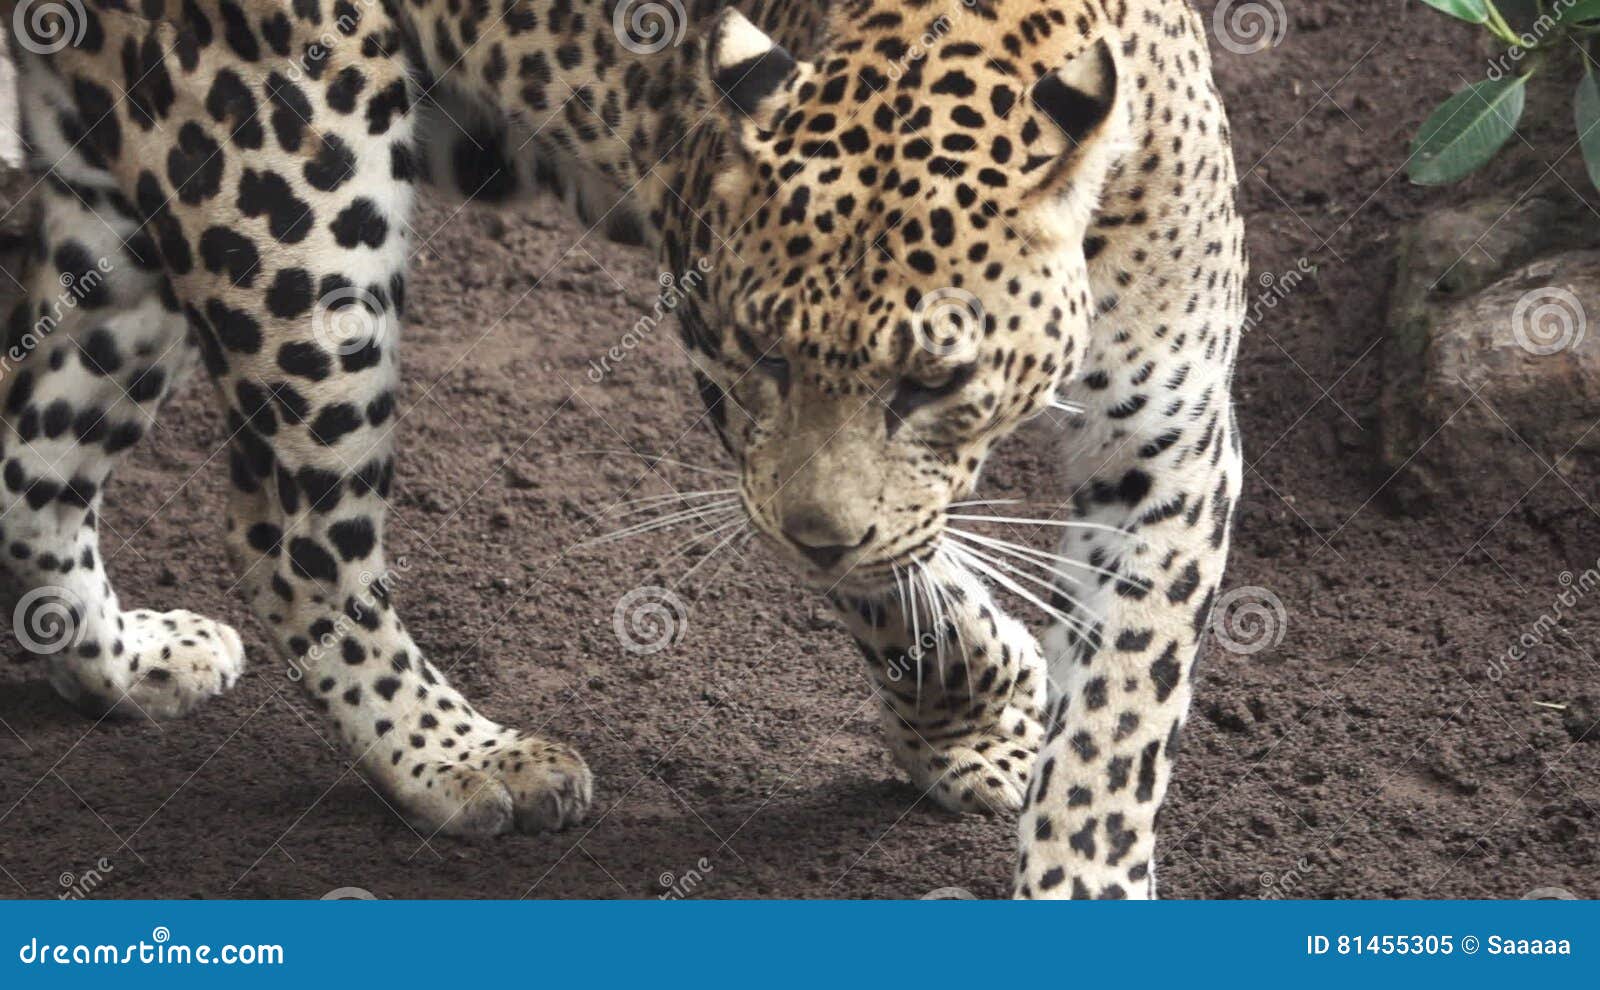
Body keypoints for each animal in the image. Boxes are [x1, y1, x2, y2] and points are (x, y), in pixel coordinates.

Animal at [1, 0, 1246, 898]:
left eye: (931, 383)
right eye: (766, 352)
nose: (813, 539)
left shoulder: (1172, 443)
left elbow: (1117, 721)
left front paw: (1074, 857)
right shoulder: (718, 356)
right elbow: (897, 582)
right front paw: (979, 717)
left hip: (124, 235)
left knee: (29, 455)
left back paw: (125, 662)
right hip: (296, 192)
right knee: (289, 534)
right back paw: (460, 759)